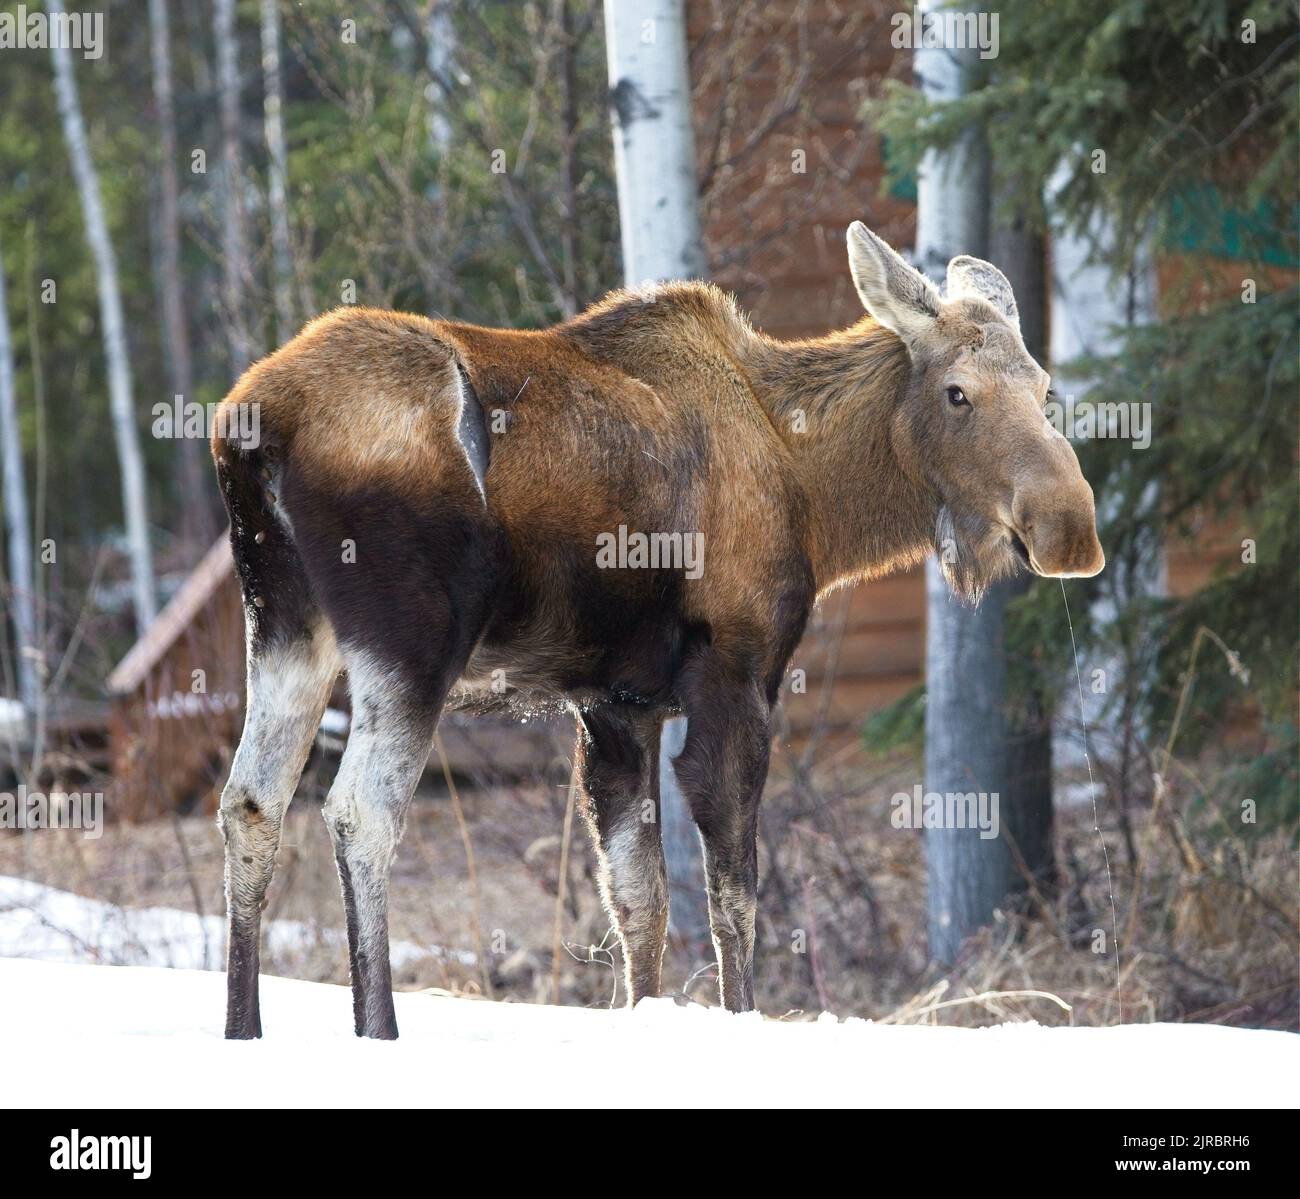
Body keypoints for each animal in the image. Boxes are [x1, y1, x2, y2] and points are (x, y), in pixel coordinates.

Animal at [211, 222, 1104, 1039]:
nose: (1069, 526)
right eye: (958, 391)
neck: (816, 497)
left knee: (251, 802)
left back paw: (242, 1029)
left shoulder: (616, 705)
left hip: (286, 626)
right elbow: (732, 897)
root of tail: (253, 423)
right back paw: (378, 1030)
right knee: (360, 810)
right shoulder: (735, 673)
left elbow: (639, 905)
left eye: (1043, 384)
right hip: (412, 640)